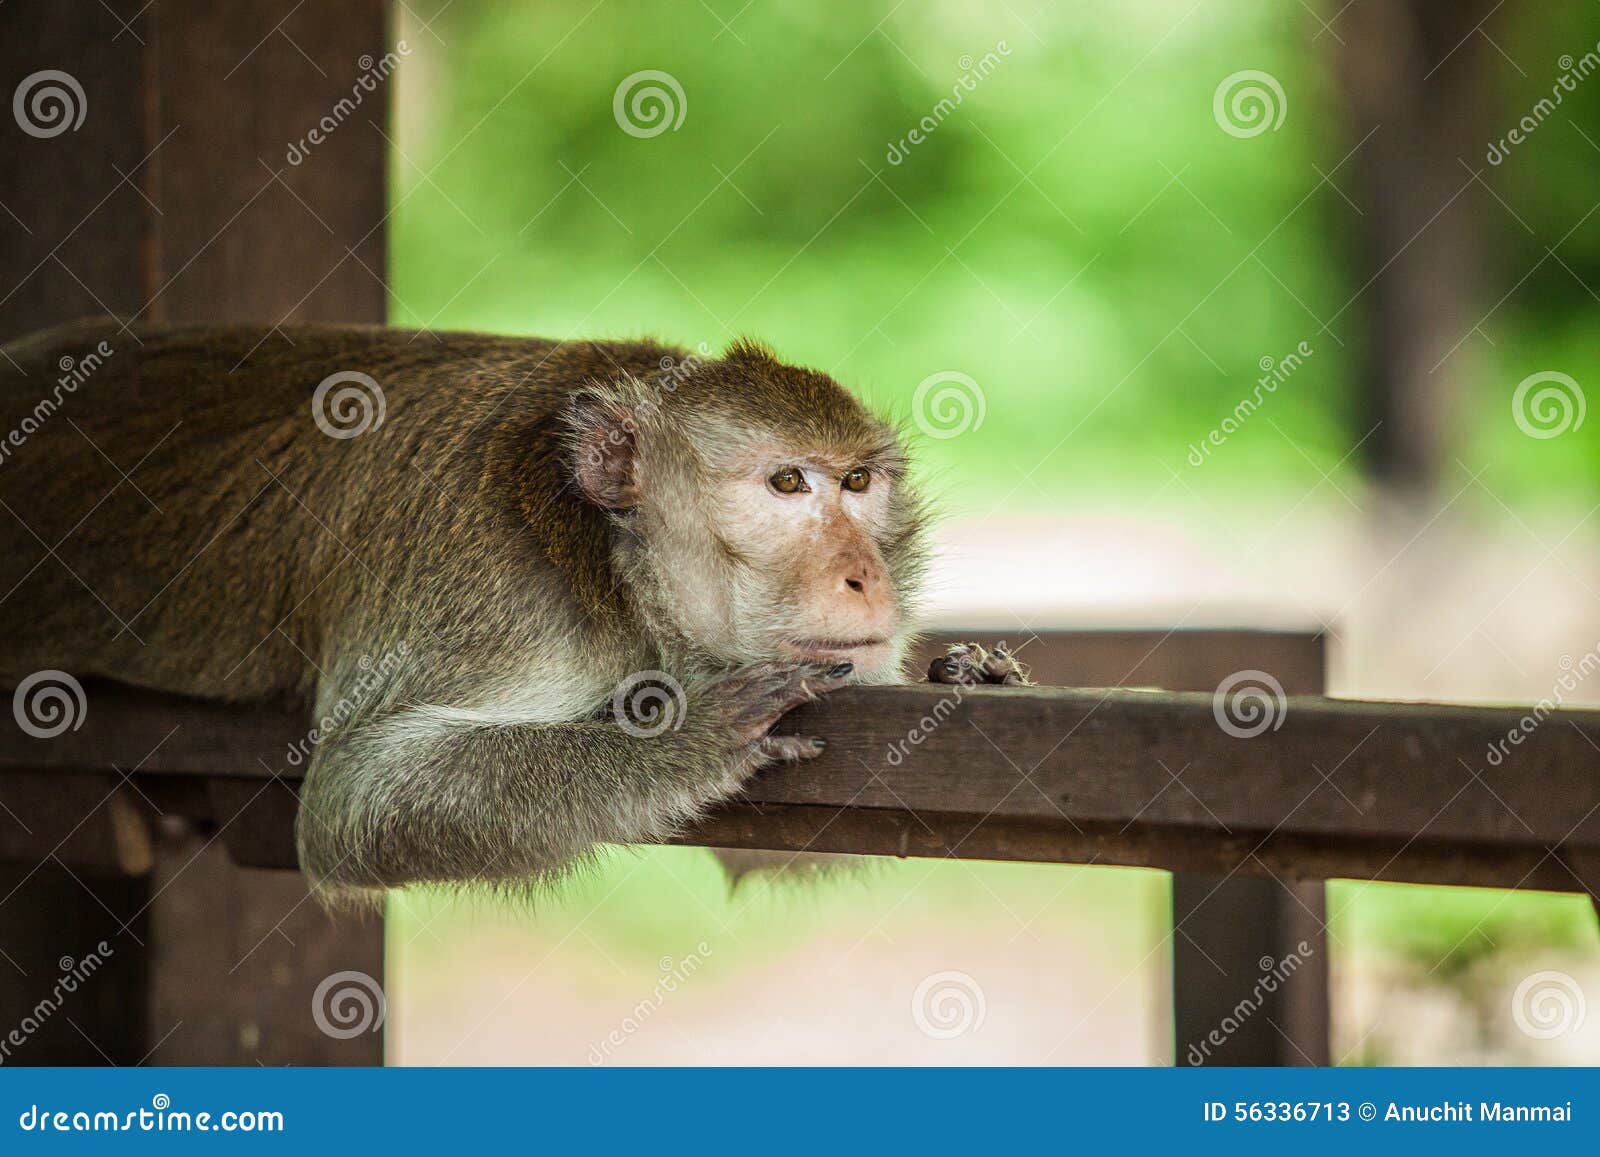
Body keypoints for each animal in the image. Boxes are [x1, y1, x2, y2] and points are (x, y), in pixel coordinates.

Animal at [0, 318, 967, 902]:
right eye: (787, 483)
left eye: (857, 482)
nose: (864, 575)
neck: (611, 563)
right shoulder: (496, 598)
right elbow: (352, 802)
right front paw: (681, 744)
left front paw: (975, 664)